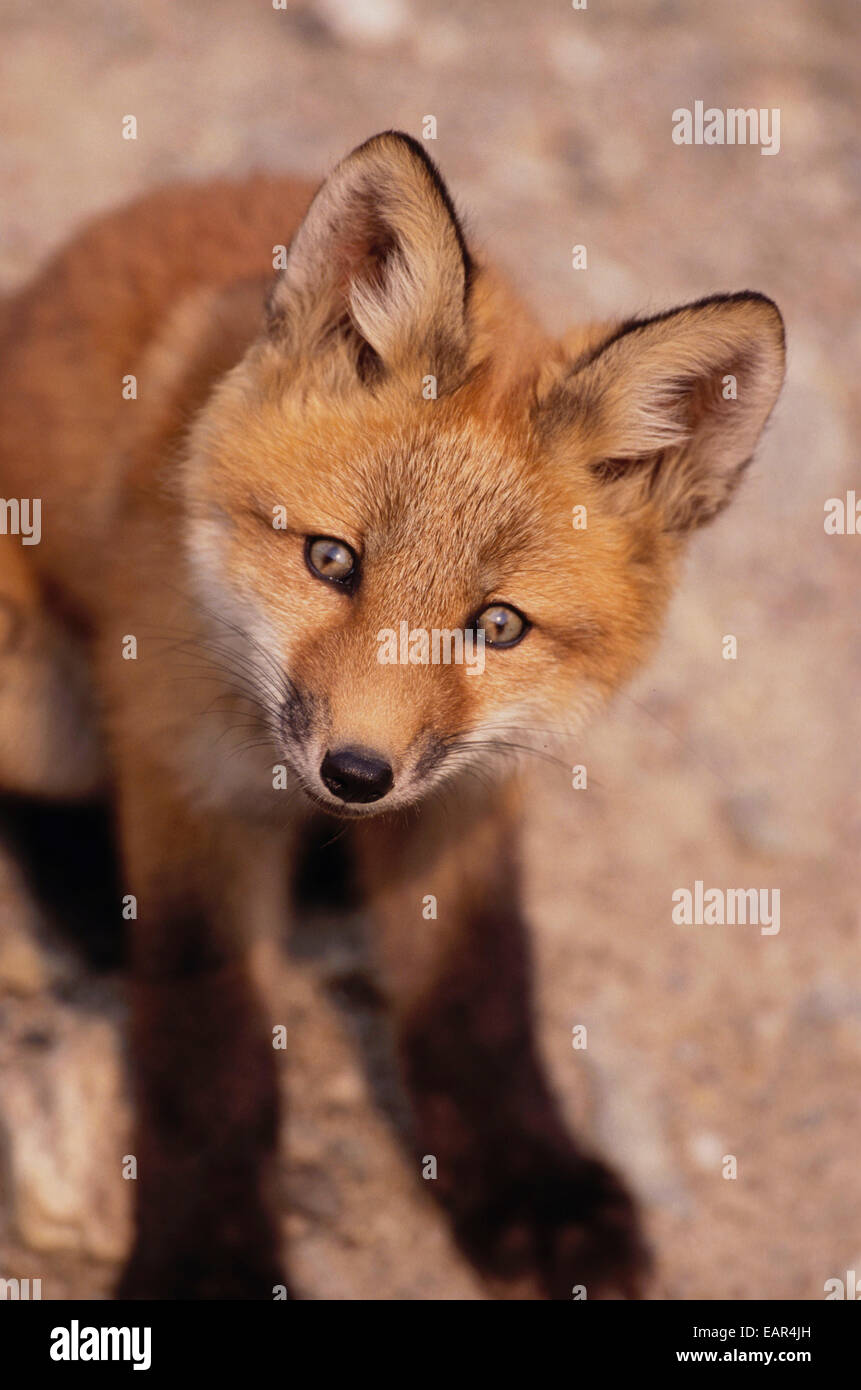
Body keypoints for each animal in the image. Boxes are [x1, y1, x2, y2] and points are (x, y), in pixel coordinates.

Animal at [0, 131, 785, 1300]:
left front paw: (532, 1189)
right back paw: (94, 897)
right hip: (35, 685)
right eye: (333, 561)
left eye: (497, 626)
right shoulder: (185, 774)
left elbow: (478, 993)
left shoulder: (469, 789)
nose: (356, 775)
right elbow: (206, 1042)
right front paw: (207, 1256)